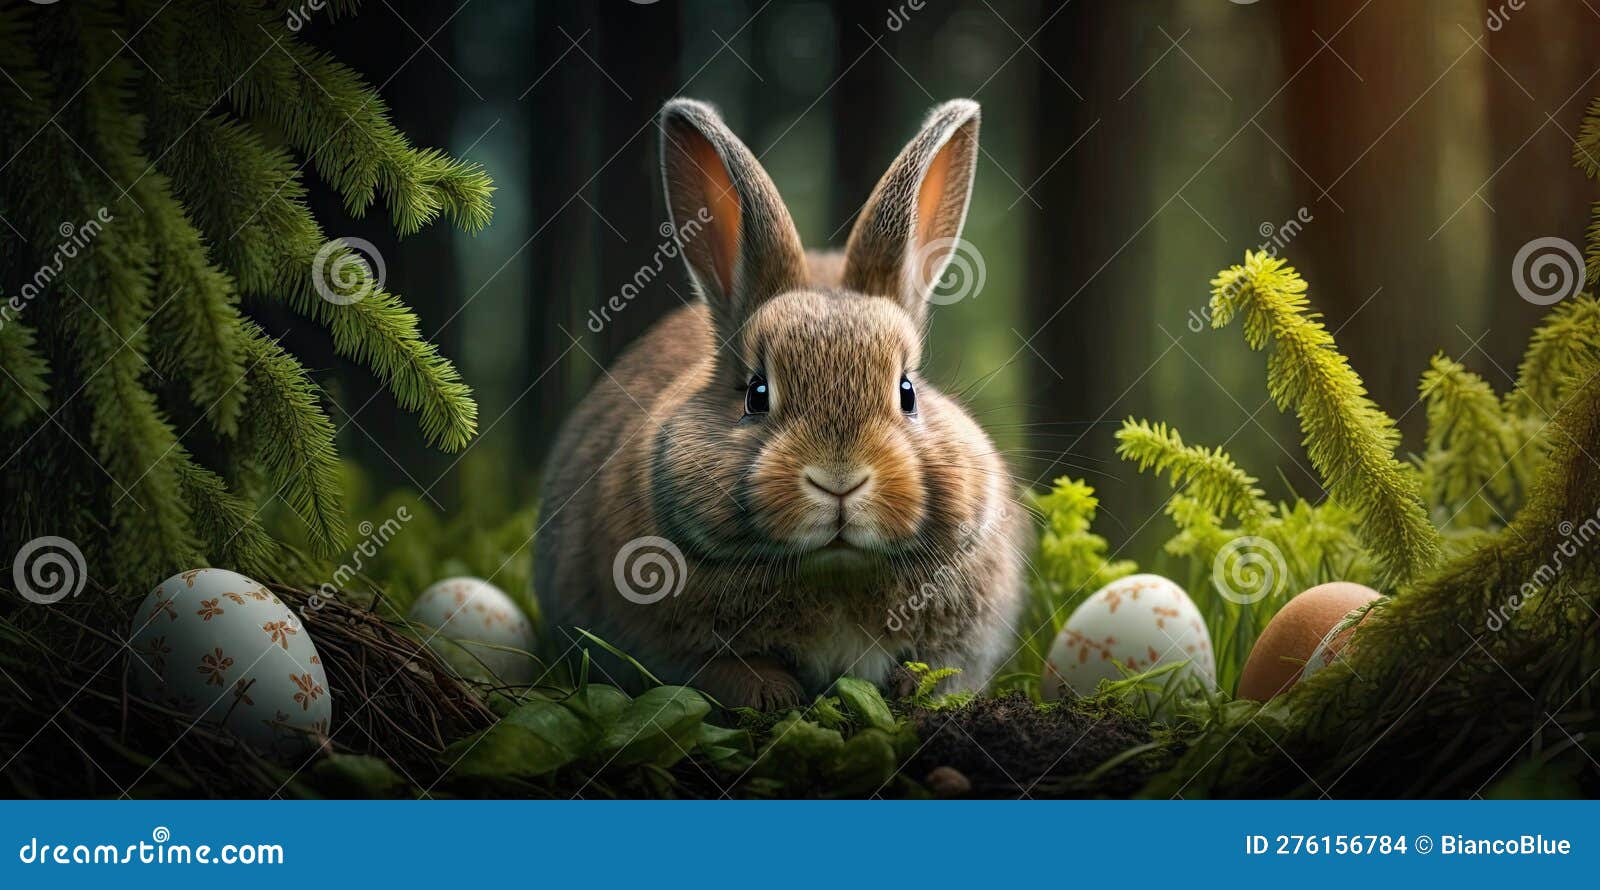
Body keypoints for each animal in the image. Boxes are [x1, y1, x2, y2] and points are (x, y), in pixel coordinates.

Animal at [534, 97, 1027, 710]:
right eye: (756, 393)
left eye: (907, 391)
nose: (839, 480)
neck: (835, 573)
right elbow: (716, 670)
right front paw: (773, 694)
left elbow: (946, 669)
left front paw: (914, 689)